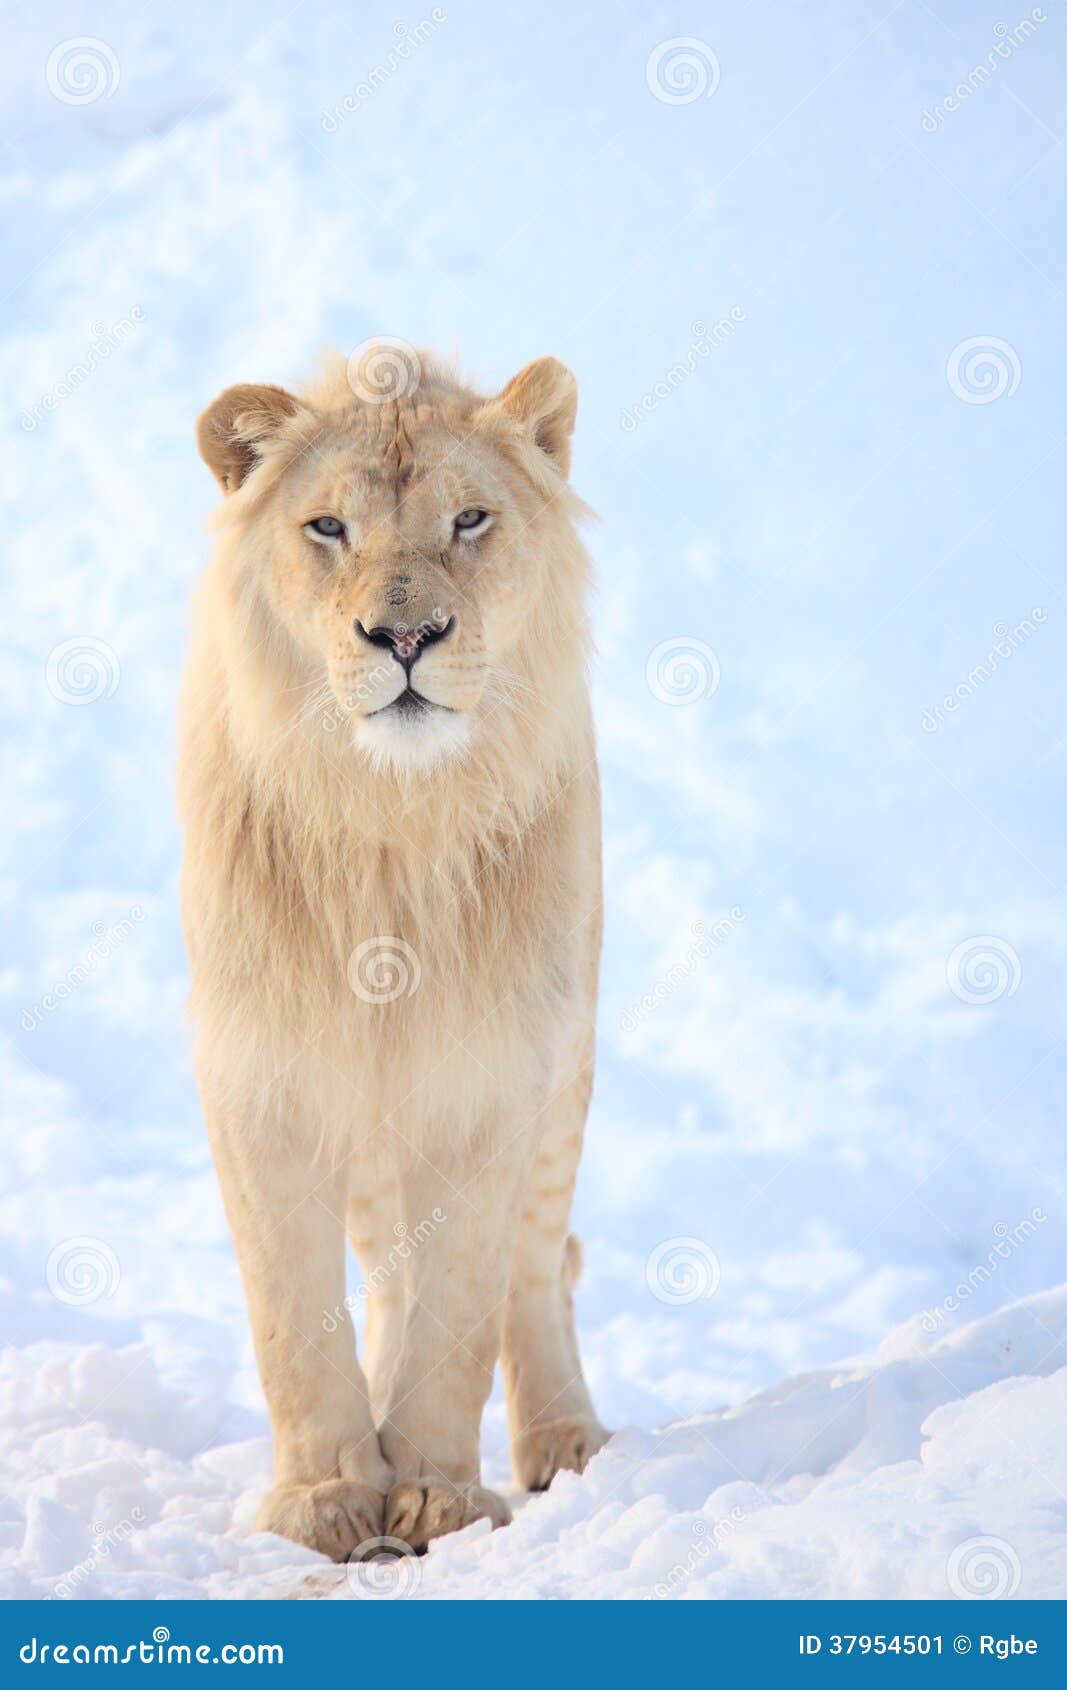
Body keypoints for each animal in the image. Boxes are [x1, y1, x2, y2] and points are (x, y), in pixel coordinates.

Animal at [178, 342, 609, 1559]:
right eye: (328, 528)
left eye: (469, 519)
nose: (405, 639)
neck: (387, 817)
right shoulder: (263, 1072)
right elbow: (292, 1313)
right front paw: (328, 1494)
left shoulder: (489, 1076)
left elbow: (461, 1304)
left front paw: (432, 1493)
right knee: (384, 1278)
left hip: (565, 1063)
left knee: (537, 1264)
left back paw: (566, 1441)